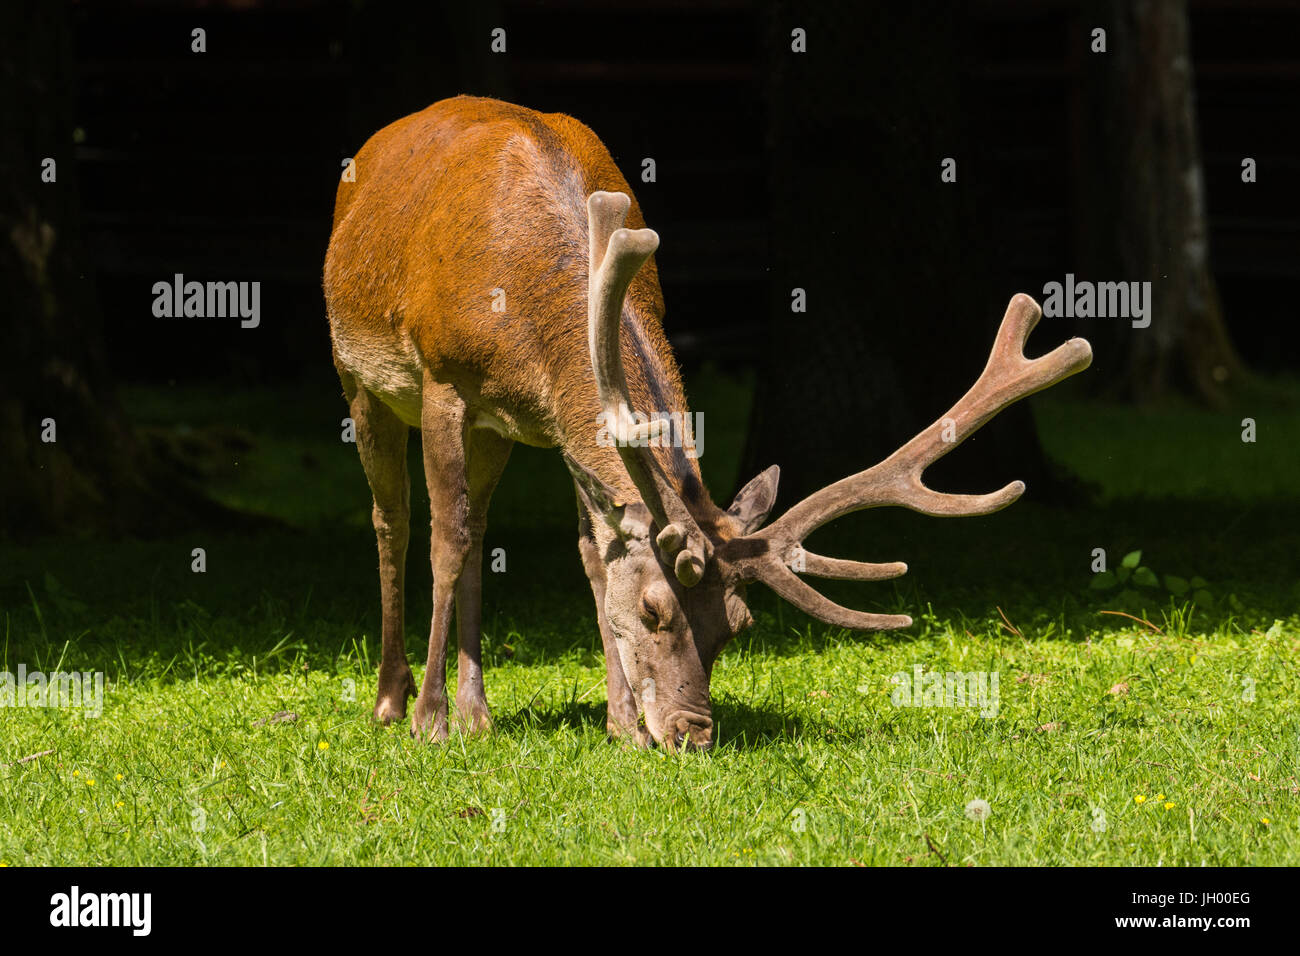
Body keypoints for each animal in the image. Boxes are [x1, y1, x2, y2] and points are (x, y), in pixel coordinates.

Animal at [323, 95, 1092, 752]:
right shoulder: (443, 383)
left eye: (738, 627)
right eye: (655, 611)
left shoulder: (561, 426)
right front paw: (429, 720)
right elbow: (445, 541)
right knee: (395, 519)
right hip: (359, 377)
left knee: (482, 525)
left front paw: (621, 725)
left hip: (494, 433)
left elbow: (592, 557)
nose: (692, 734)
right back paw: (395, 699)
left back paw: (478, 710)